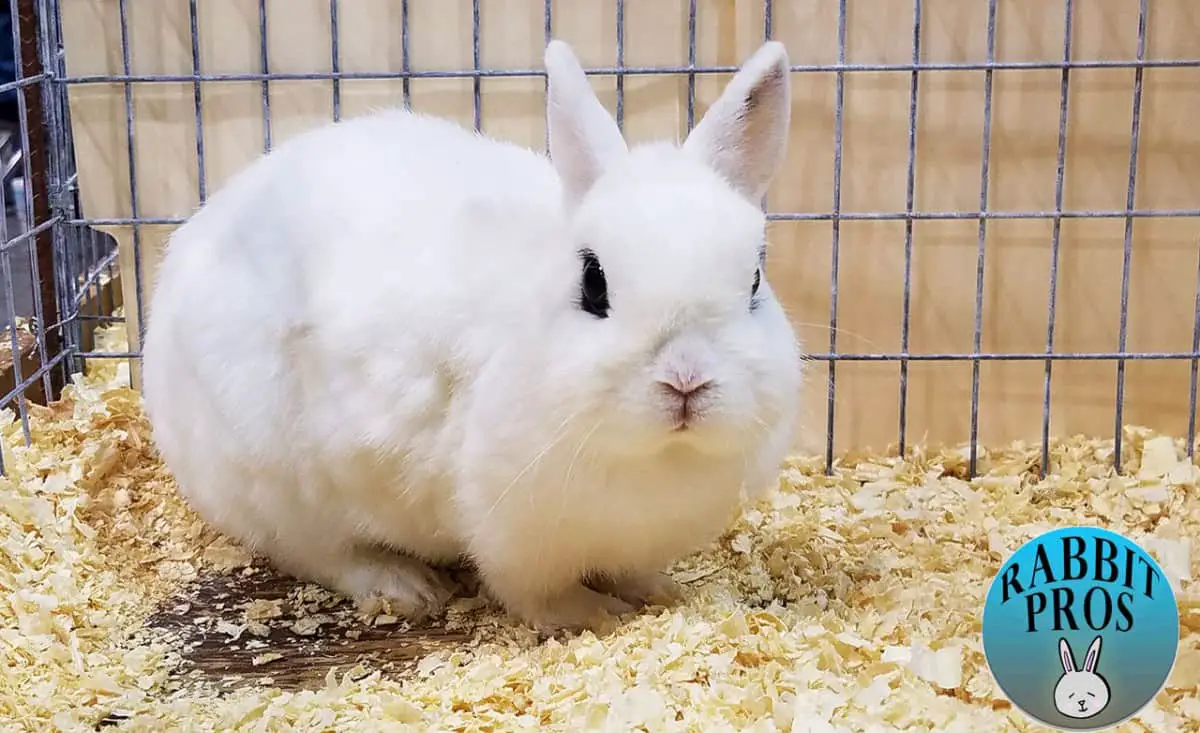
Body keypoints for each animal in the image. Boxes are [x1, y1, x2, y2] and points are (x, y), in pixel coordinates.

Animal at [140, 38, 803, 633]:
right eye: (593, 283)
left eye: (755, 280)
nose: (685, 379)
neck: (658, 459)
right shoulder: (513, 532)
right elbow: (534, 593)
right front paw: (592, 616)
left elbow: (633, 573)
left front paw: (661, 594)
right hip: (279, 480)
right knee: (317, 552)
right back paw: (405, 587)